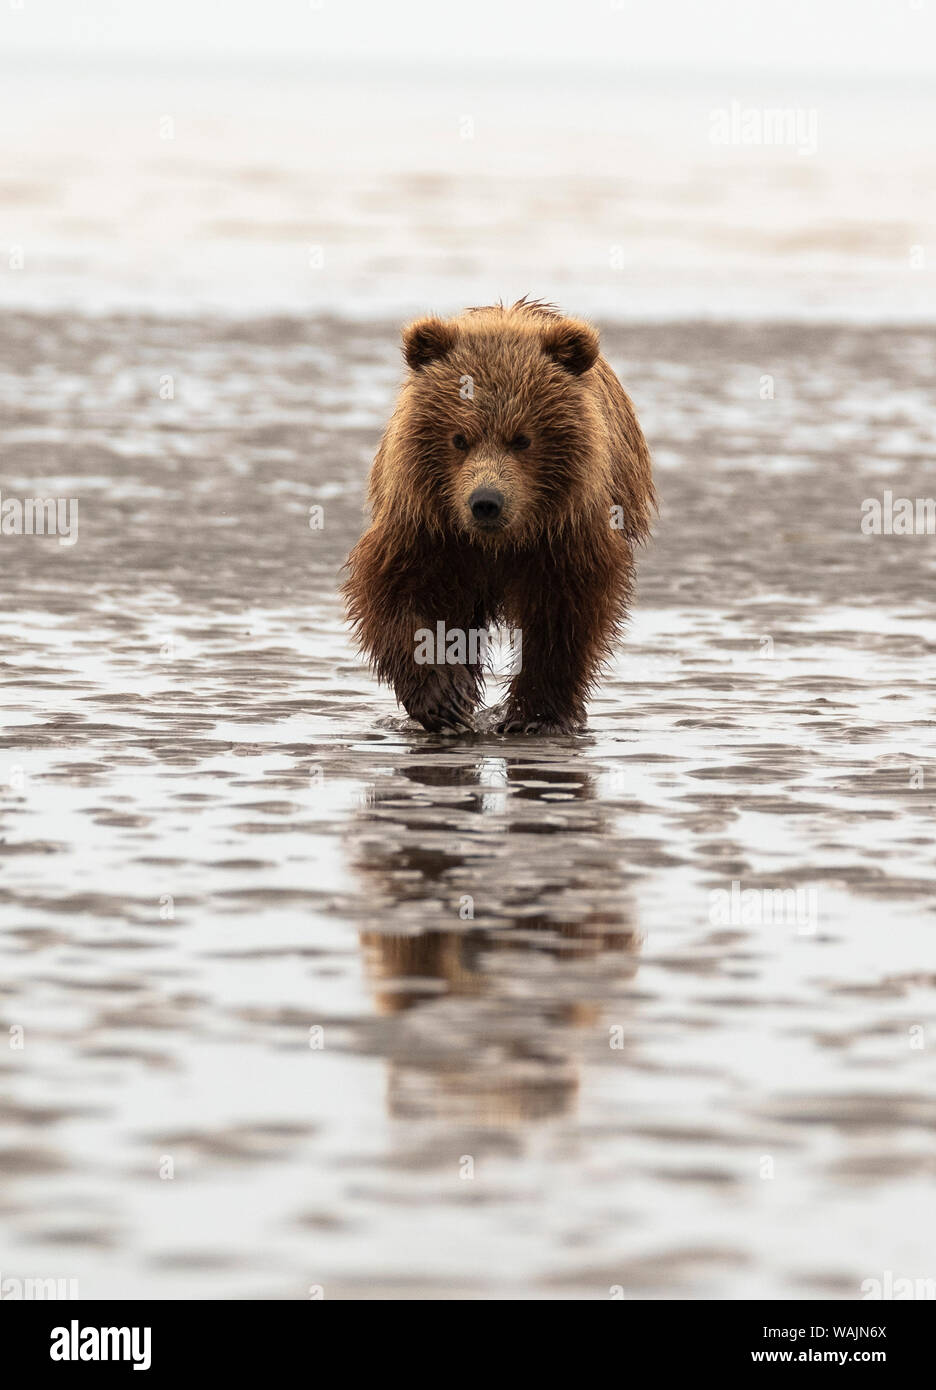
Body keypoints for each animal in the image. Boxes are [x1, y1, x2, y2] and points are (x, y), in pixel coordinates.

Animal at [342, 298, 655, 734]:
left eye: (522, 439)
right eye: (459, 438)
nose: (486, 502)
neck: (498, 544)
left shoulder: (565, 536)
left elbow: (562, 618)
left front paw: (535, 716)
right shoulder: (430, 529)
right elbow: (399, 593)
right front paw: (444, 696)